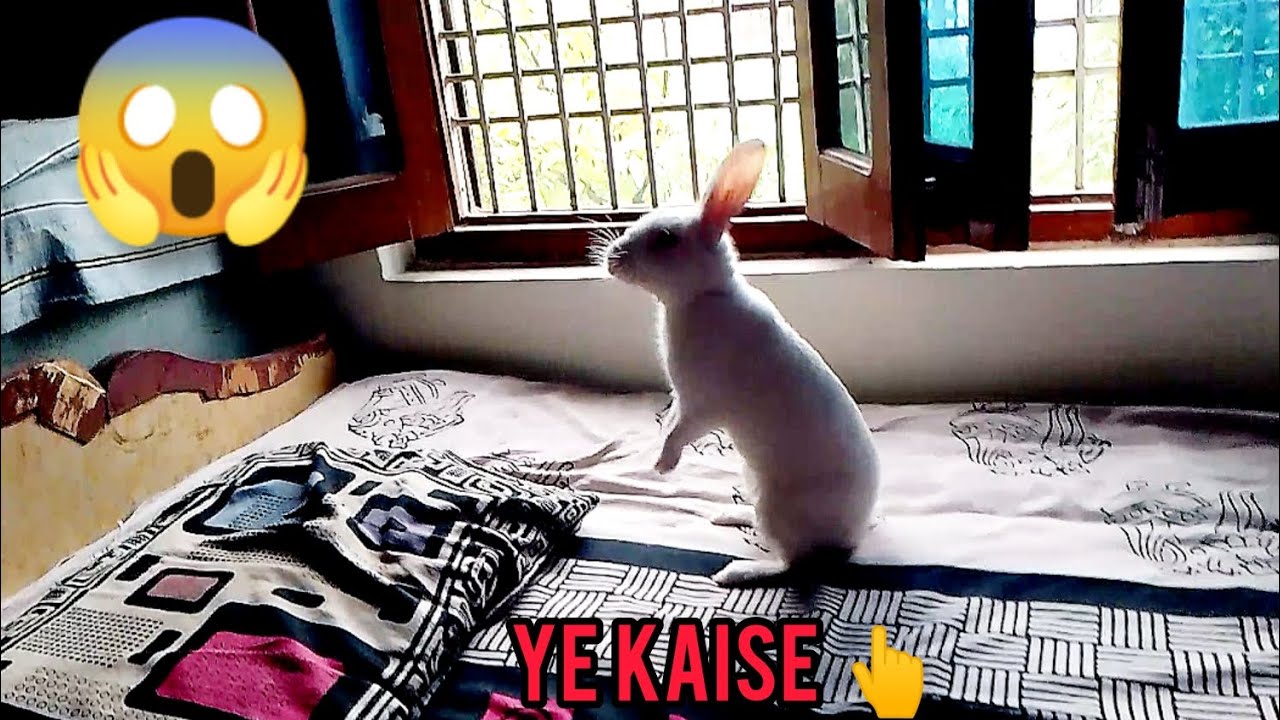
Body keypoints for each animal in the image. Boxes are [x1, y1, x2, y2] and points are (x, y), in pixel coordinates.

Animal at [596, 139, 881, 588]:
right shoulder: (683, 397)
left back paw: (736, 572)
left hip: (779, 509)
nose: (611, 258)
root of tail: (850, 538)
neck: (704, 295)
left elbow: (680, 432)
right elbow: (671, 420)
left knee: (794, 564)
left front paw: (662, 466)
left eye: (665, 239)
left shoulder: (705, 405)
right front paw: (659, 455)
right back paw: (729, 516)